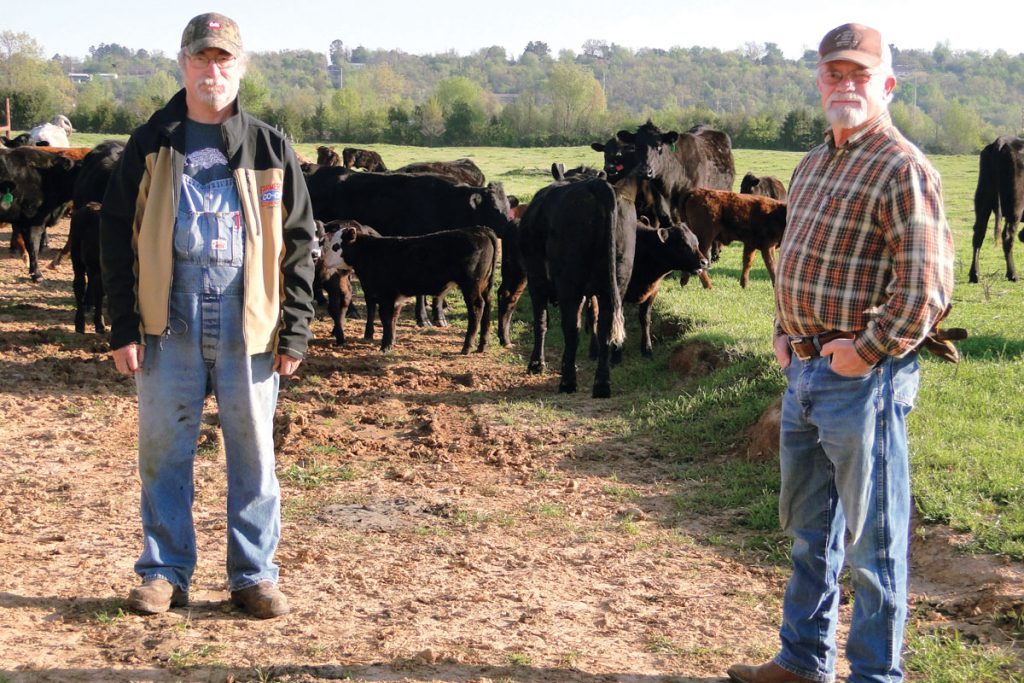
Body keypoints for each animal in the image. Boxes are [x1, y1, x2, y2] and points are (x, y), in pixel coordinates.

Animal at [319, 227, 495, 356]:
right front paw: (391, 343)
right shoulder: (396, 299)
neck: (372, 253)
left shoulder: (386, 296)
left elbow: (386, 320)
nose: (324, 261)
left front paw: (385, 346)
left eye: (336, 246)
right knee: (488, 306)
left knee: (477, 308)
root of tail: (480, 230)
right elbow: (393, 320)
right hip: (485, 286)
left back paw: (467, 347)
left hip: (471, 286)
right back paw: (482, 346)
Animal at [520, 176, 638, 397]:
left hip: (569, 285)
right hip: (617, 281)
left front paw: (536, 364)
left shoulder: (535, 281)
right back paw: (601, 385)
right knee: (605, 329)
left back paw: (568, 382)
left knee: (571, 330)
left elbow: (541, 322)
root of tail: (595, 184)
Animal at [966, 136, 1024, 282]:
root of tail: (1004, 140)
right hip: (1016, 208)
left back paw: (975, 275)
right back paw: (1013, 275)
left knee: (978, 234)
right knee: (1008, 236)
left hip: (983, 201)